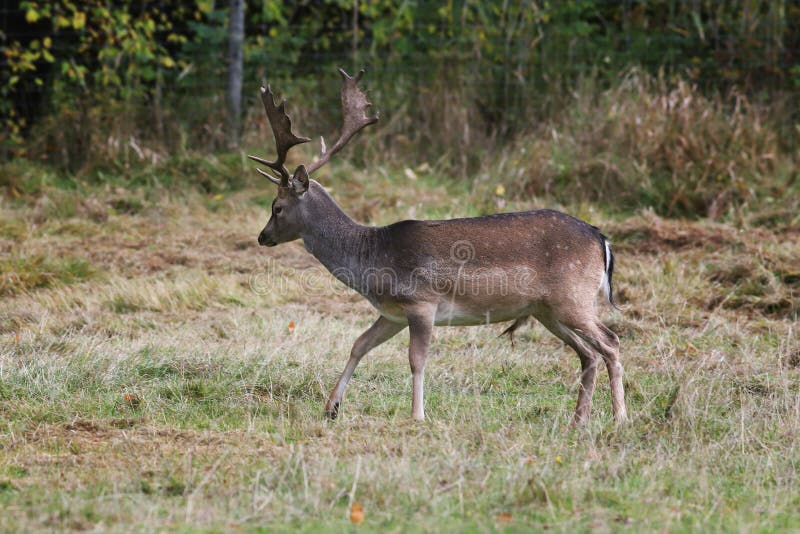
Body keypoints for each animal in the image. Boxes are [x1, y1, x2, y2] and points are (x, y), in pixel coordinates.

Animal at [249, 68, 627, 426]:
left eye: (276, 207)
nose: (262, 236)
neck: (372, 257)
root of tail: (602, 239)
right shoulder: (393, 312)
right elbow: (359, 344)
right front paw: (331, 408)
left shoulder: (422, 302)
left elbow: (416, 360)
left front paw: (417, 415)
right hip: (546, 309)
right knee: (588, 353)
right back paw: (578, 420)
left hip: (572, 297)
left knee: (610, 341)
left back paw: (619, 417)